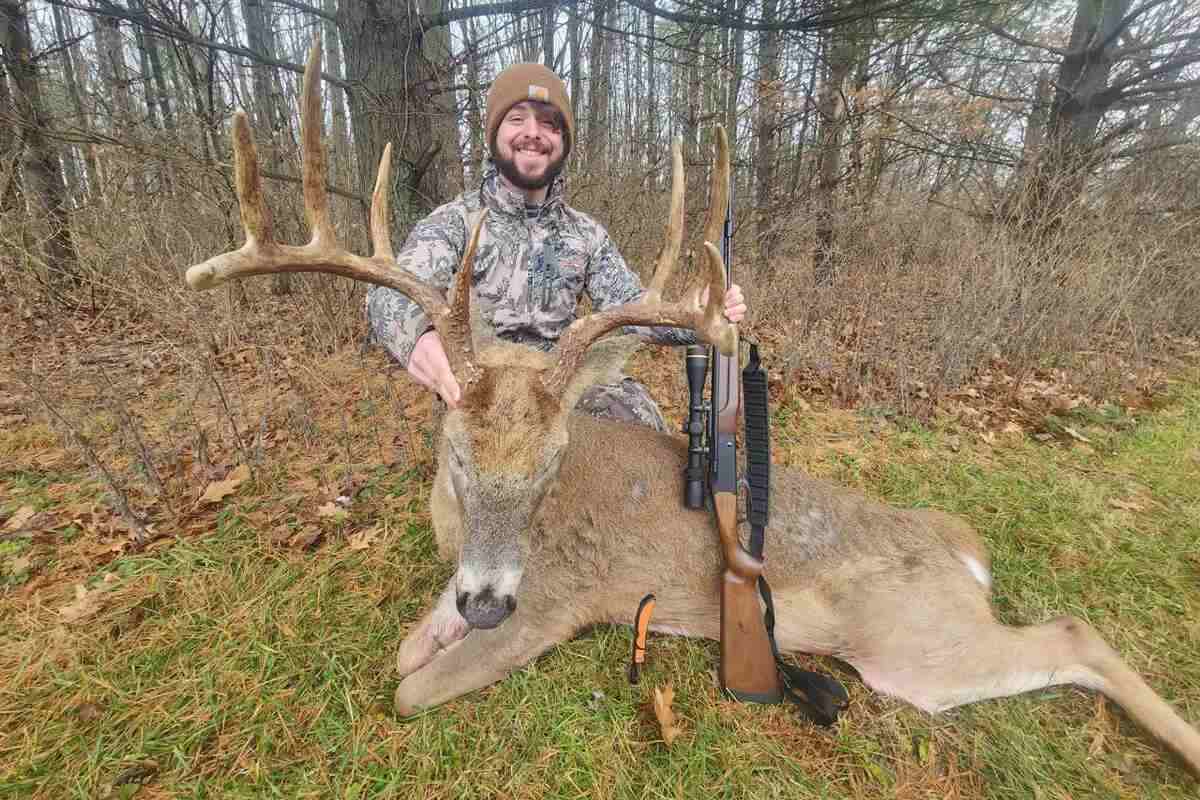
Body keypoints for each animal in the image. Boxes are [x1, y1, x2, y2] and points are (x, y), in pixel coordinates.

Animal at [185, 40, 1200, 779]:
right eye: (457, 454)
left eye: (551, 462)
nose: (485, 602)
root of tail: (957, 547)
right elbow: (402, 656)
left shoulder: (557, 604)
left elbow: (408, 690)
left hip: (917, 643)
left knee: (1075, 632)